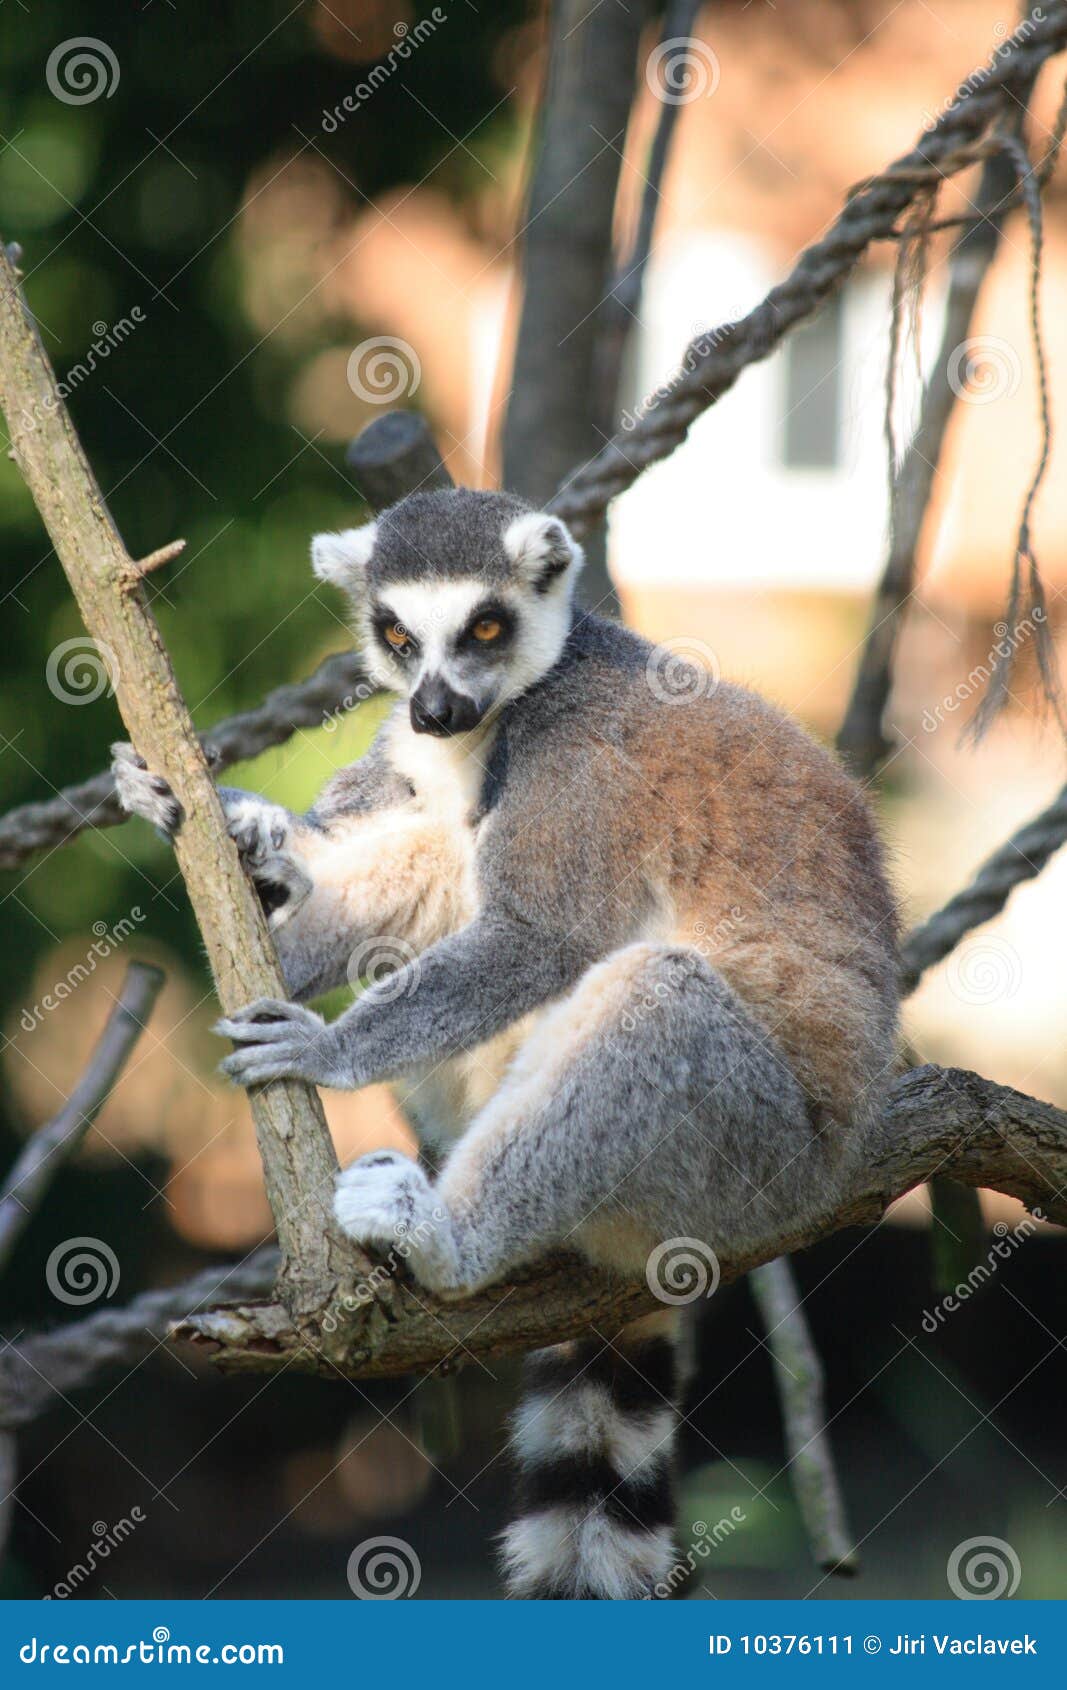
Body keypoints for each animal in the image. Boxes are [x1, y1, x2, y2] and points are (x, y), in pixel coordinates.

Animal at [112, 486, 899, 1600]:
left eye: (484, 628)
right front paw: (212, 818)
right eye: (398, 635)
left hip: (747, 1164)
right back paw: (269, 892)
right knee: (444, 846)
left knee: (650, 1001)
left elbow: (543, 936)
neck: (510, 710)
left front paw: (330, 1053)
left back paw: (447, 1241)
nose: (435, 708)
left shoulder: (579, 762)